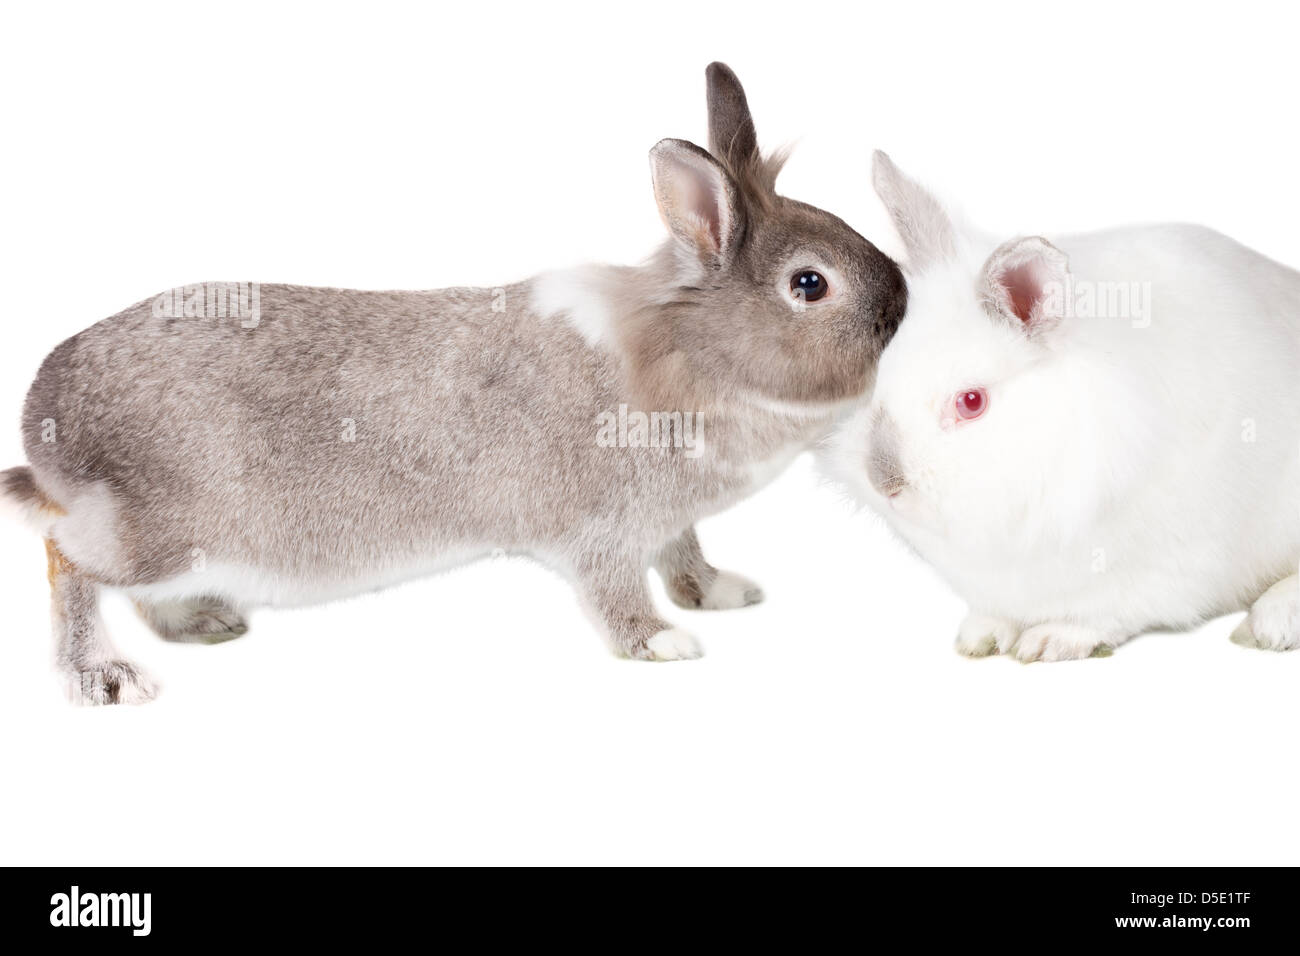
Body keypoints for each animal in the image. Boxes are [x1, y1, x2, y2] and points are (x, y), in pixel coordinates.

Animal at [0, 63, 907, 703]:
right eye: (810, 285)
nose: (901, 311)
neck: (689, 352)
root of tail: (47, 426)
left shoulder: (669, 518)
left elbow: (684, 553)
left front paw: (721, 592)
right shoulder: (602, 530)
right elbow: (614, 591)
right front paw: (663, 642)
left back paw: (201, 621)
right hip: (159, 531)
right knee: (65, 560)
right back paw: (103, 679)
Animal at [822, 150, 1300, 662]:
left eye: (971, 401)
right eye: (877, 374)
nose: (884, 480)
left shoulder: (1171, 561)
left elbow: (1112, 609)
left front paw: (1052, 640)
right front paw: (982, 634)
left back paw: (1269, 624)